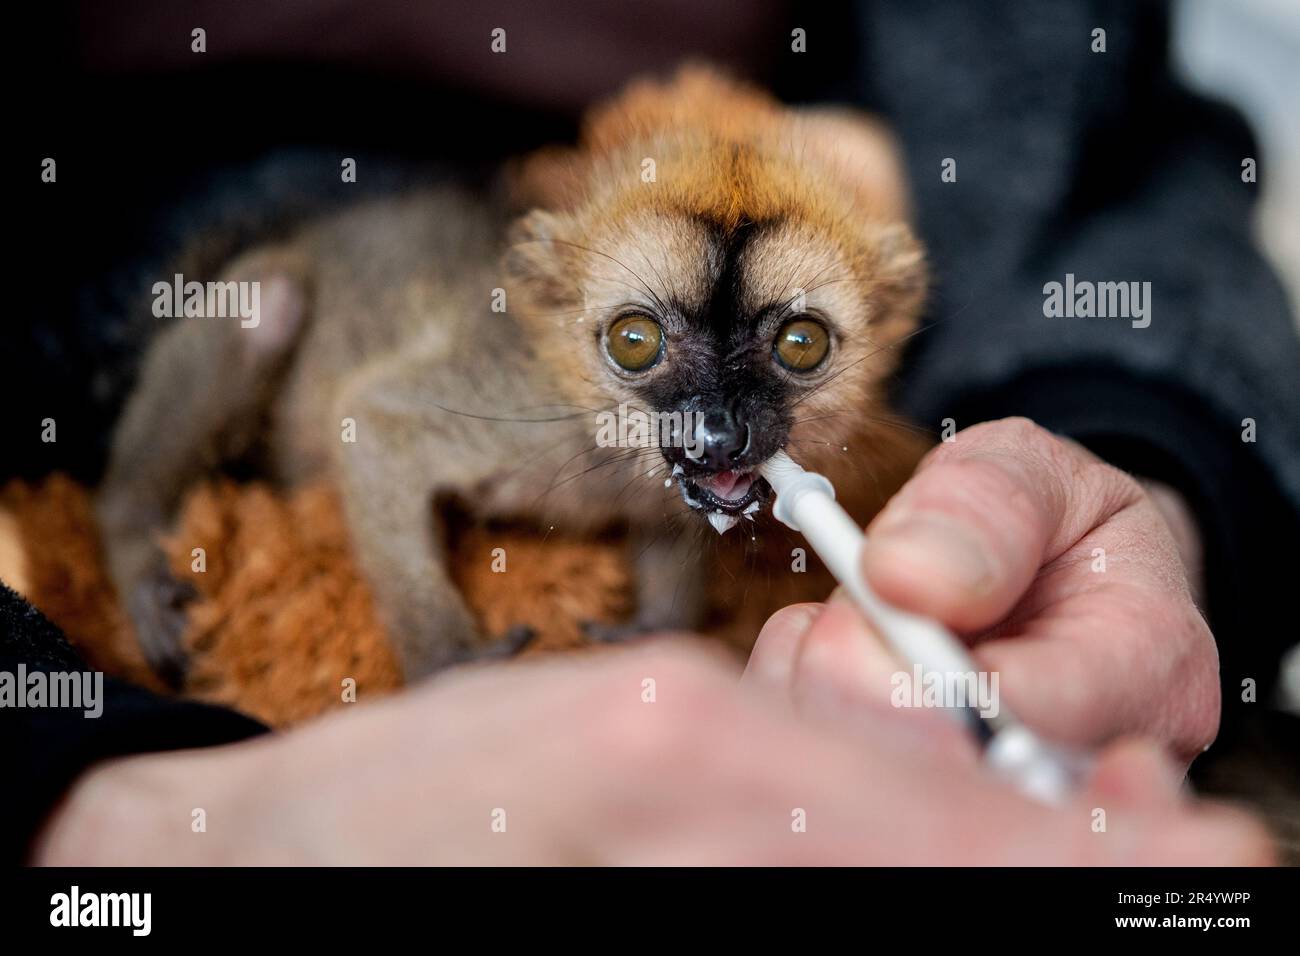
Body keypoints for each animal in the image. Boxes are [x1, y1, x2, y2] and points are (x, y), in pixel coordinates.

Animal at [97, 67, 930, 685]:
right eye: (635, 342)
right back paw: (134, 547)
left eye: (800, 344)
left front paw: (651, 632)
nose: (719, 432)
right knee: (267, 304)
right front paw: (450, 665)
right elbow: (375, 422)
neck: (609, 445)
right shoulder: (518, 410)